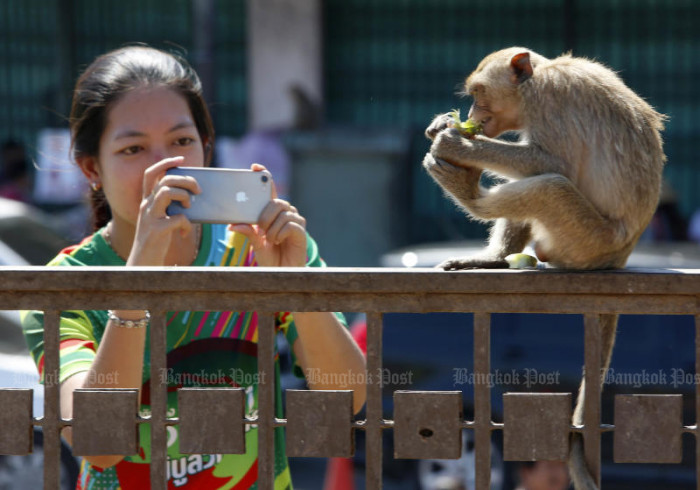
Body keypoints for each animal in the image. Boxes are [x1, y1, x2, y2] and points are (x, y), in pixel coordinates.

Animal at [422, 47, 666, 490]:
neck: (539, 79)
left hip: (583, 240)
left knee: (549, 185)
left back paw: (469, 194)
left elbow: (551, 163)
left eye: (479, 93)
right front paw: (443, 124)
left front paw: (457, 141)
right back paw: (494, 259)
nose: (472, 113)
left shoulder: (552, 102)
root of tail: (619, 257)